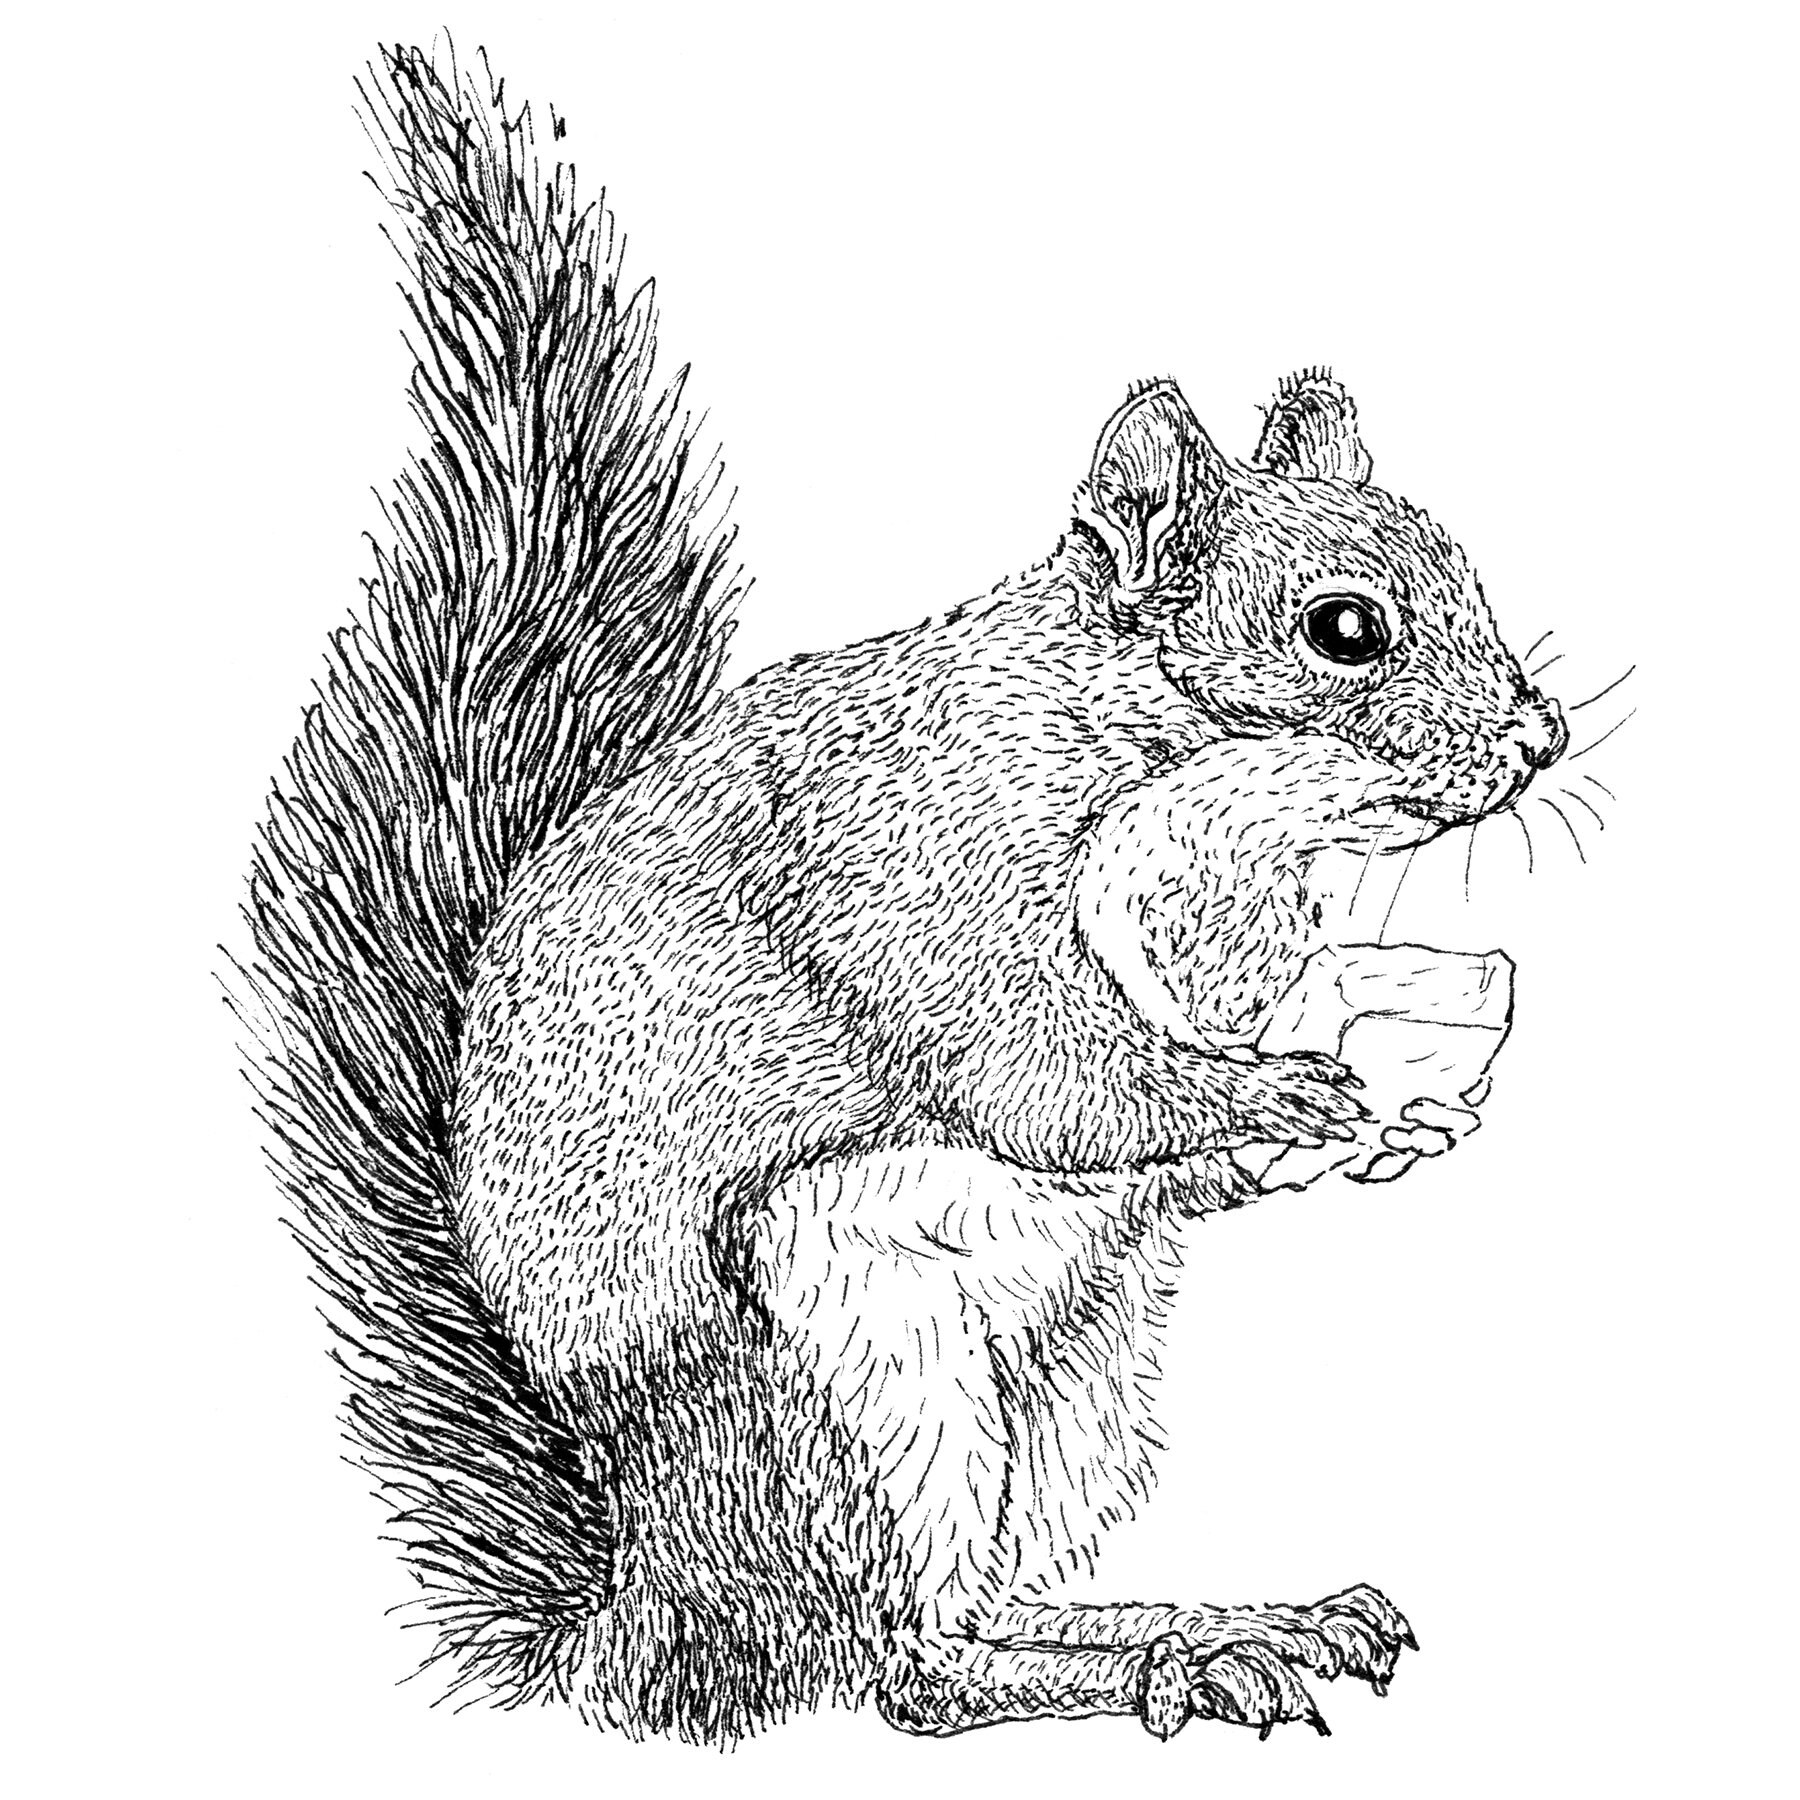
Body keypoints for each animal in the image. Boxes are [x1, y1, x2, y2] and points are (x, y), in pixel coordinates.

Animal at [242, 44, 1569, 1746]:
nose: (1540, 740)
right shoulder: (927, 884)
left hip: (1072, 1377)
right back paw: (1174, 1656)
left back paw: (1228, 1621)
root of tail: (645, 1592)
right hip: (859, 1360)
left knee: (974, 1607)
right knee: (912, 1660)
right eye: (1346, 629)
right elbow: (1051, 1078)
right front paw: (1283, 1092)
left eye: (1466, 572)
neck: (1201, 824)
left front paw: (1405, 1082)